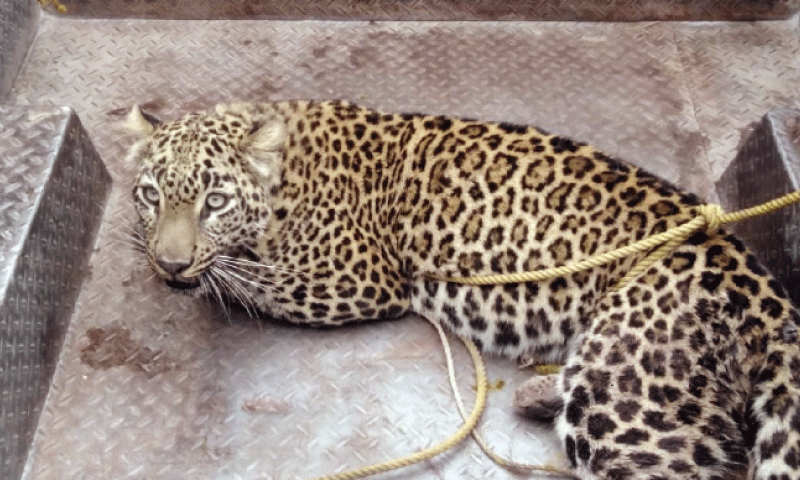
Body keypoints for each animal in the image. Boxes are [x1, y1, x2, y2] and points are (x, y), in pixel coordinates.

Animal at [126, 99, 800, 480]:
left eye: (215, 201)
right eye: (150, 194)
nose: (170, 265)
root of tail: (757, 282)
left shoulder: (352, 278)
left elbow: (244, 280)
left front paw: (199, 271)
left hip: (628, 399)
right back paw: (539, 392)